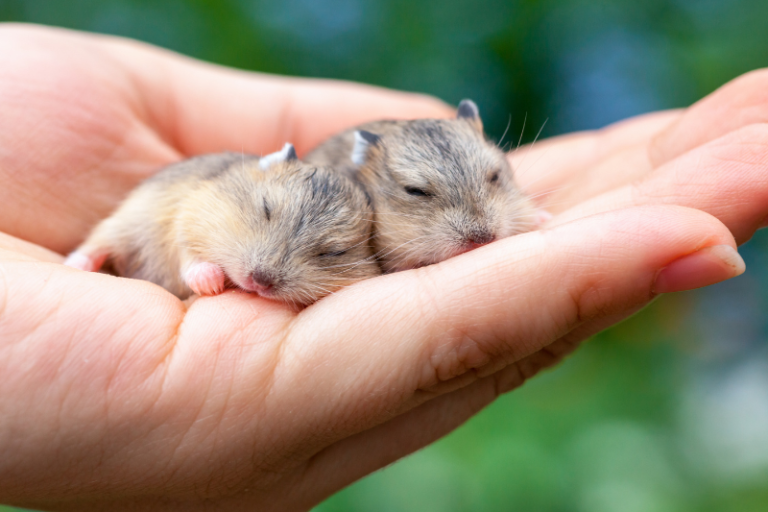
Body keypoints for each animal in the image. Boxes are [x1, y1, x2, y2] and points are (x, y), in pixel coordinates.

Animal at [64, 144, 380, 306]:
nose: (260, 282)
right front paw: (212, 285)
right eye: (265, 208)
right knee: (96, 245)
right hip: (124, 223)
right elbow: (191, 260)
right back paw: (75, 266)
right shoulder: (186, 219)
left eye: (333, 253)